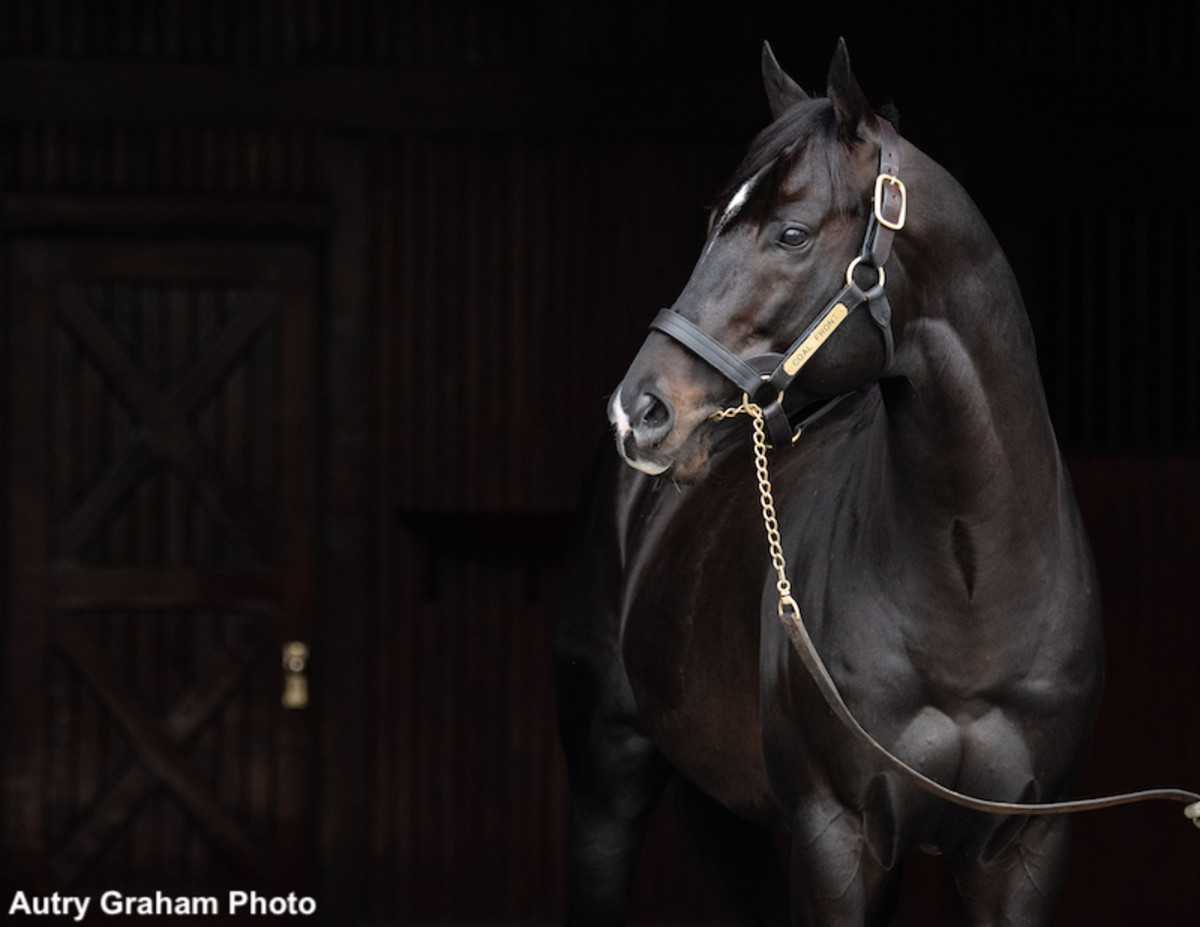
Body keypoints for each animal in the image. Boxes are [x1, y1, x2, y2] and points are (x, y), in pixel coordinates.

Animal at [554, 40, 1111, 926]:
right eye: (712, 222)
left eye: (791, 233)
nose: (638, 411)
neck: (971, 588)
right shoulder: (836, 838)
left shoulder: (1024, 850)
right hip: (608, 776)